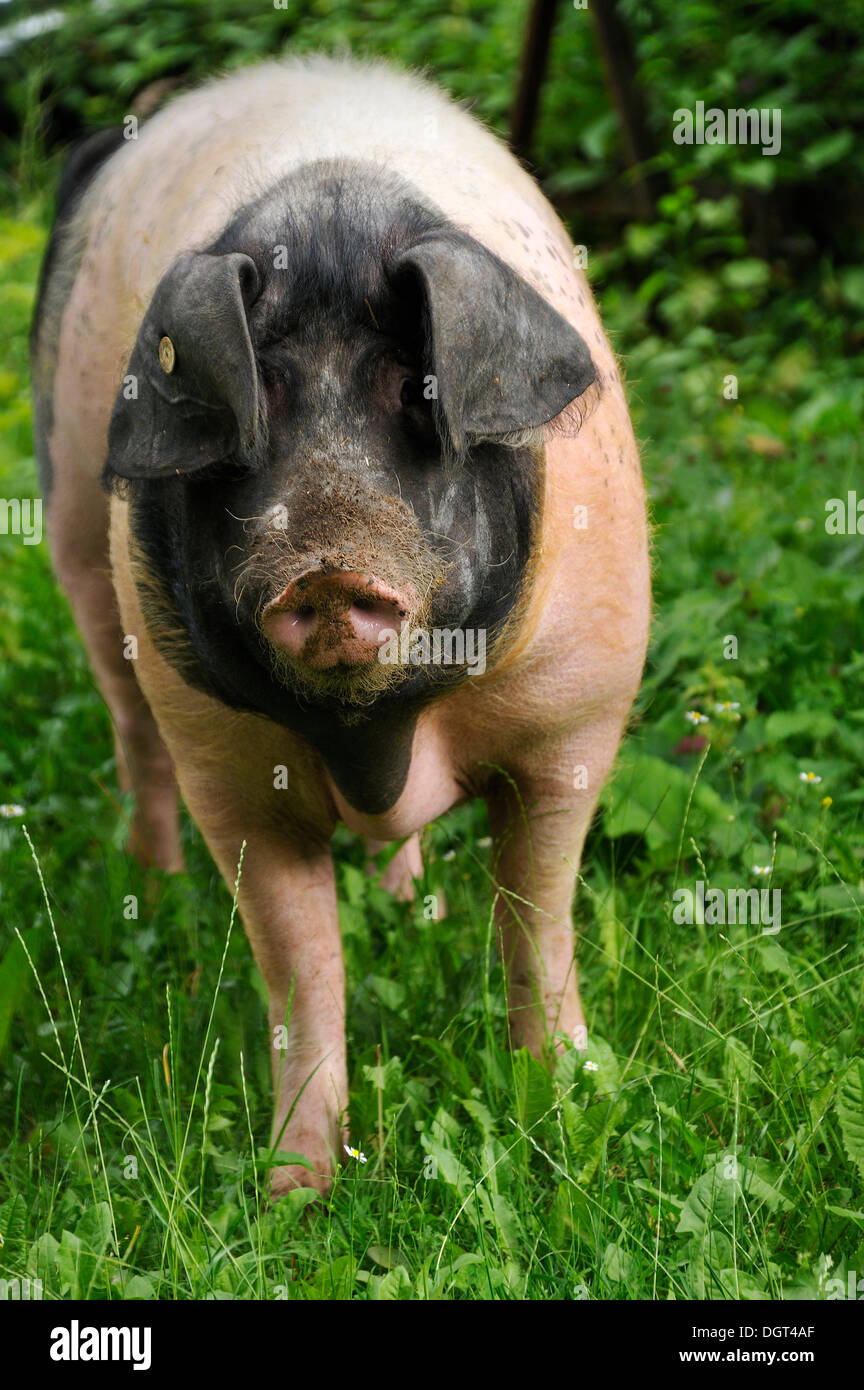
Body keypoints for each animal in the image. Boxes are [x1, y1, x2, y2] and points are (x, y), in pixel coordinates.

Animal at [31, 54, 651, 1194]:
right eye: (255, 409)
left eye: (416, 389)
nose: (325, 566)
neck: (381, 731)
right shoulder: (229, 774)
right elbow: (301, 969)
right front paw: (293, 1193)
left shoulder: (573, 721)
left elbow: (538, 918)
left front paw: (570, 1098)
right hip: (77, 557)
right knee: (131, 733)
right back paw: (153, 884)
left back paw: (412, 908)